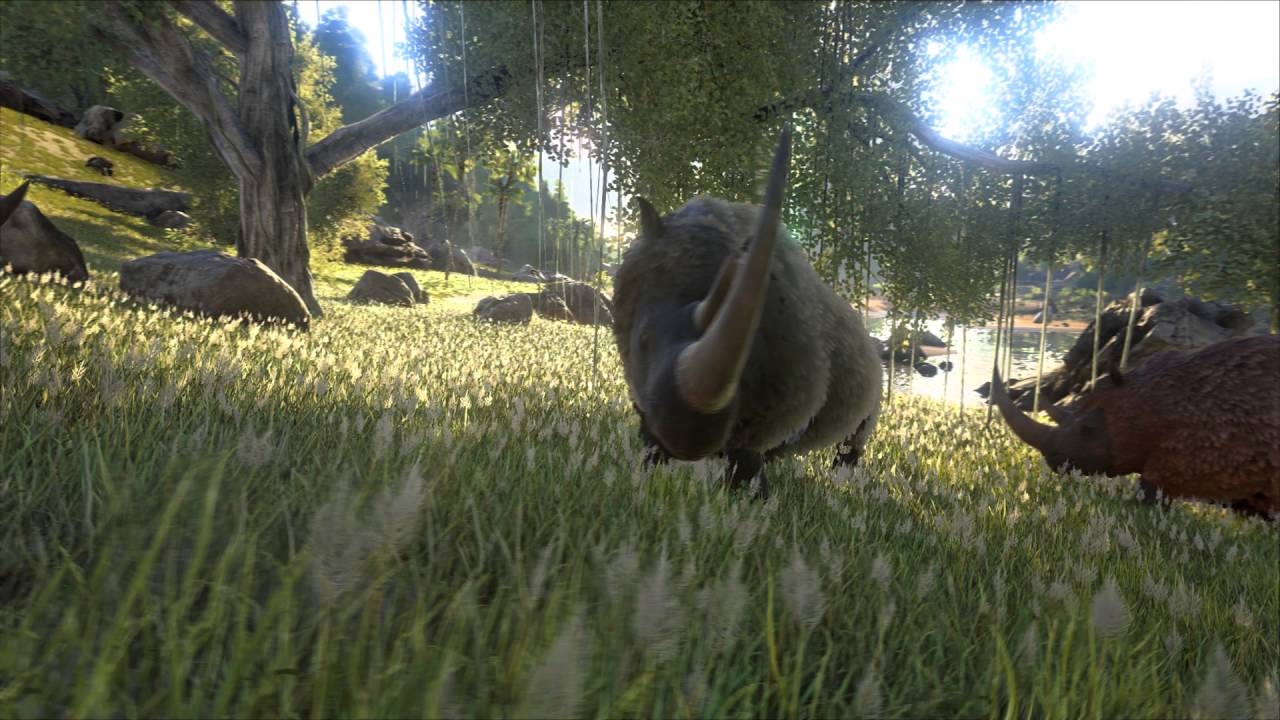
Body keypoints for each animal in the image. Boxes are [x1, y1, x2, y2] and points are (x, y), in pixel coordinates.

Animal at [612, 128, 883, 498]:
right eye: (641, 341)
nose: (685, 440)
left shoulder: (772, 417)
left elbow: (748, 469)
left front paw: (750, 502)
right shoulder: (644, 398)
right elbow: (649, 449)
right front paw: (642, 479)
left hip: (877, 381)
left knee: (852, 442)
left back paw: (839, 483)